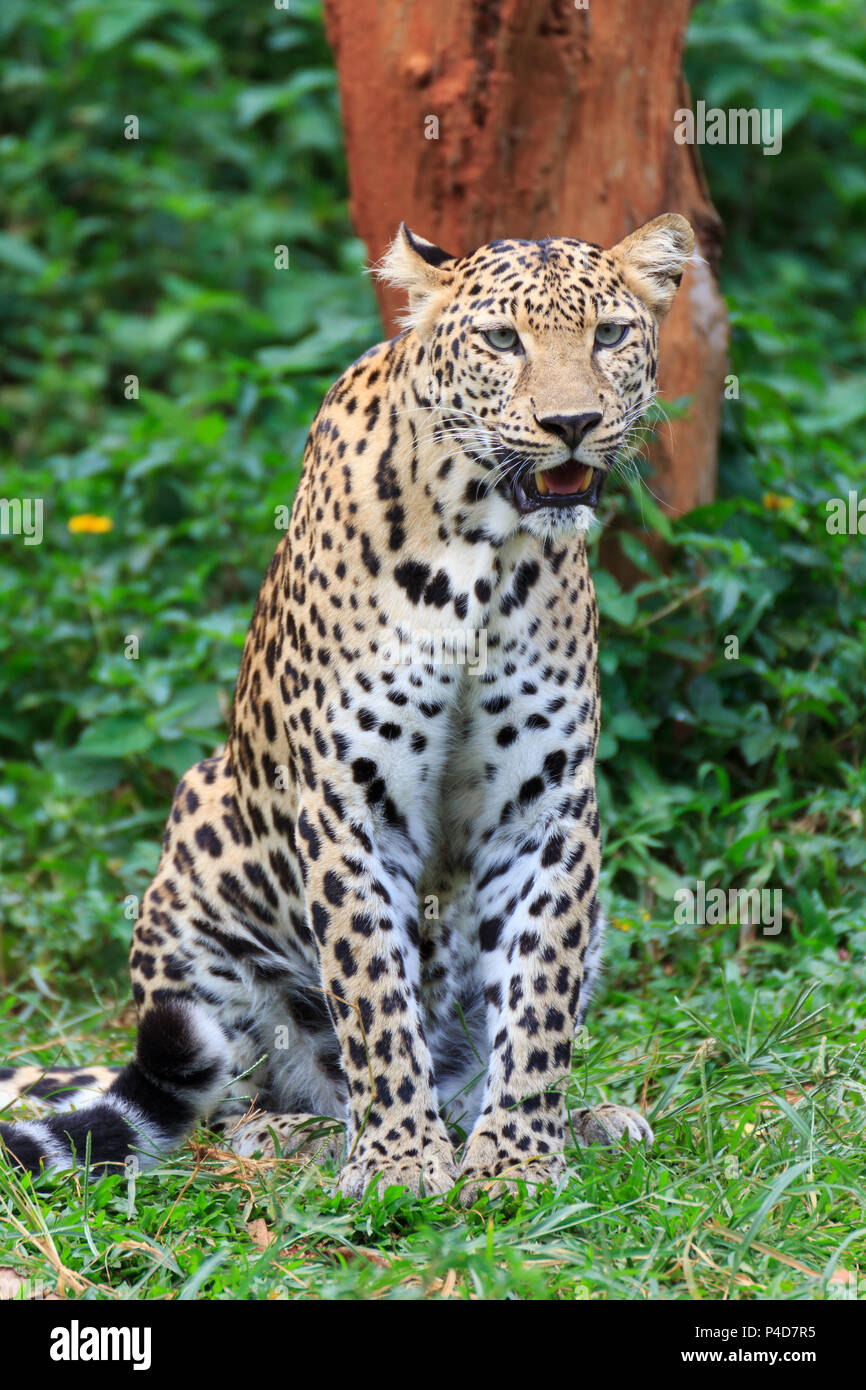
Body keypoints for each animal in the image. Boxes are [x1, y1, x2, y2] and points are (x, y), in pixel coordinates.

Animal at [0, 213, 694, 1201]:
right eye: (501, 340)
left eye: (609, 335)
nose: (572, 425)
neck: (483, 555)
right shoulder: (348, 798)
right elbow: (372, 991)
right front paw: (399, 1160)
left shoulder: (548, 806)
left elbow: (540, 997)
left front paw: (519, 1156)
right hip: (191, 888)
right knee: (225, 1107)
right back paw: (309, 1136)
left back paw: (581, 1121)